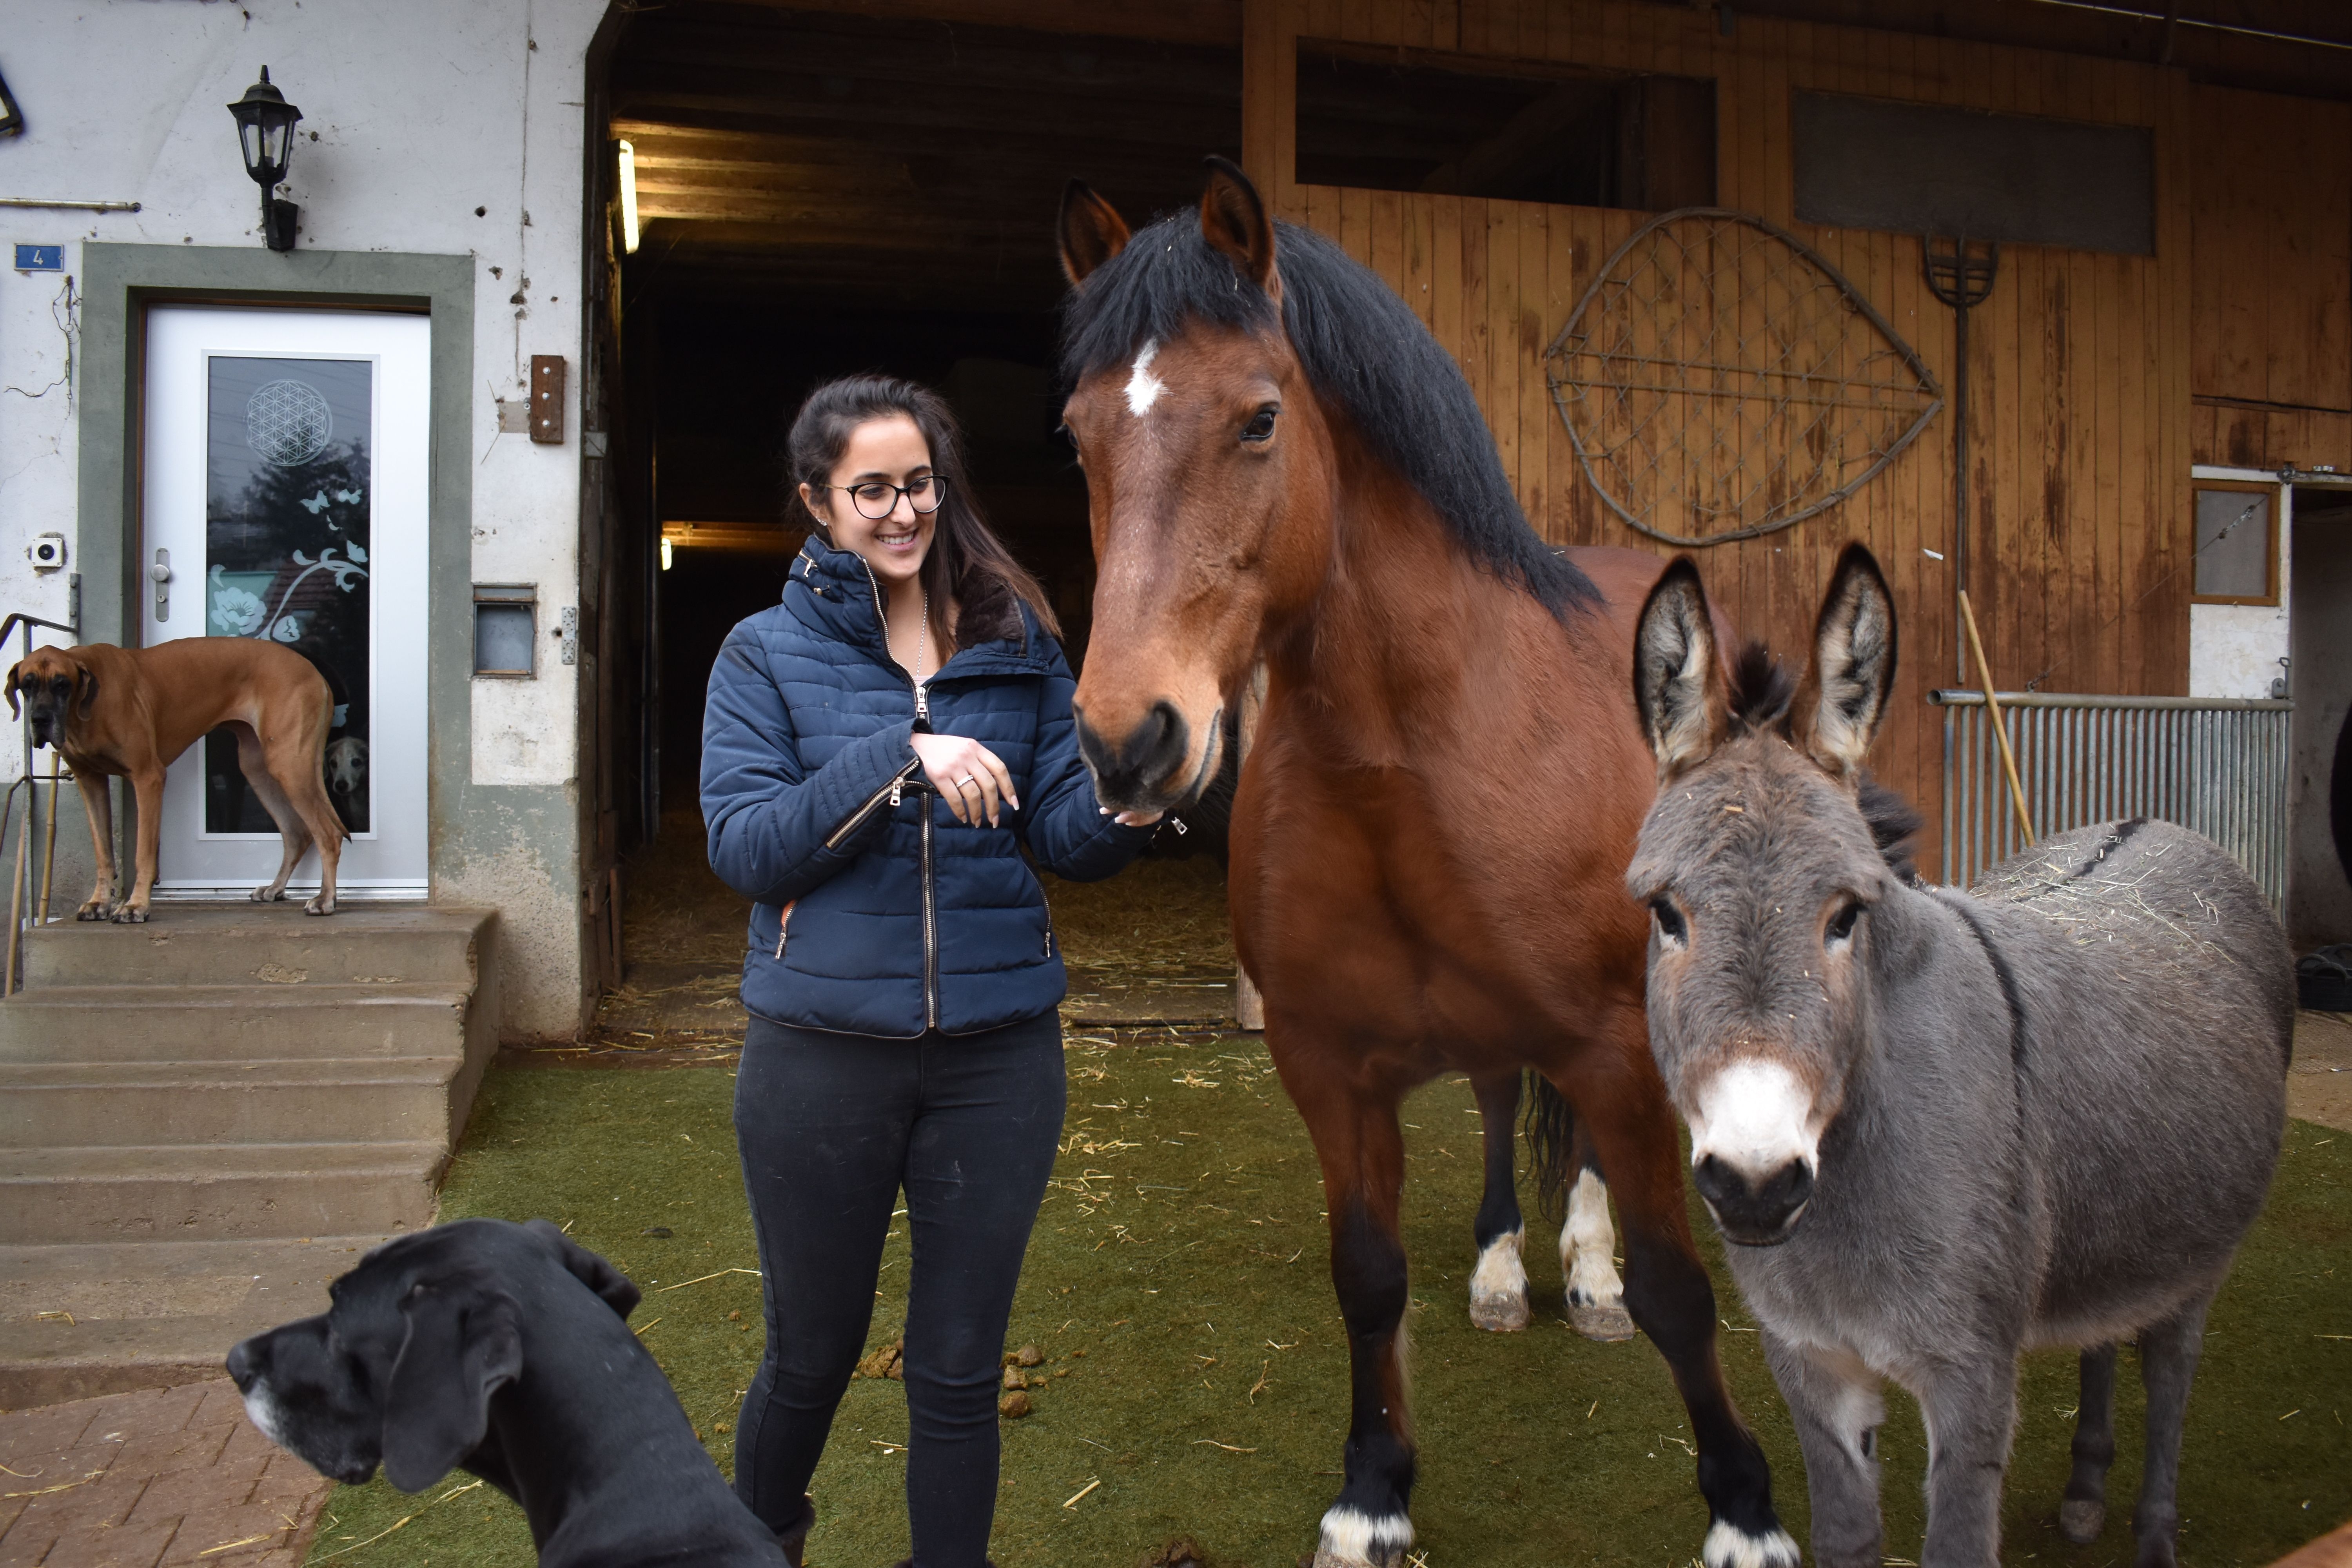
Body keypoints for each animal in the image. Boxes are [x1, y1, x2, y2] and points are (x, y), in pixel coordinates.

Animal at [1055, 157, 1790, 1568]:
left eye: (1260, 419)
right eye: (1078, 436)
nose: (1130, 740)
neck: (1419, 750)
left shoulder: (1615, 1043)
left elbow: (1679, 1289)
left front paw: (1746, 1513)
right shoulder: (1330, 1068)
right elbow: (1369, 1279)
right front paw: (1372, 1493)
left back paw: (1588, 1272)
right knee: (1505, 1107)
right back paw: (1510, 1267)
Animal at [1625, 544, 2293, 1568]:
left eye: (1846, 916)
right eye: (1667, 913)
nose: (1755, 1182)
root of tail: (2155, 822)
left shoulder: (1972, 1376)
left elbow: (1959, 1539)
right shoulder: (1809, 1364)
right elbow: (1847, 1535)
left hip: (2199, 1251)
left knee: (2171, 1373)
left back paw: (2151, 1531)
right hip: (2111, 1217)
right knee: (2106, 1331)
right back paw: (2085, 1491)